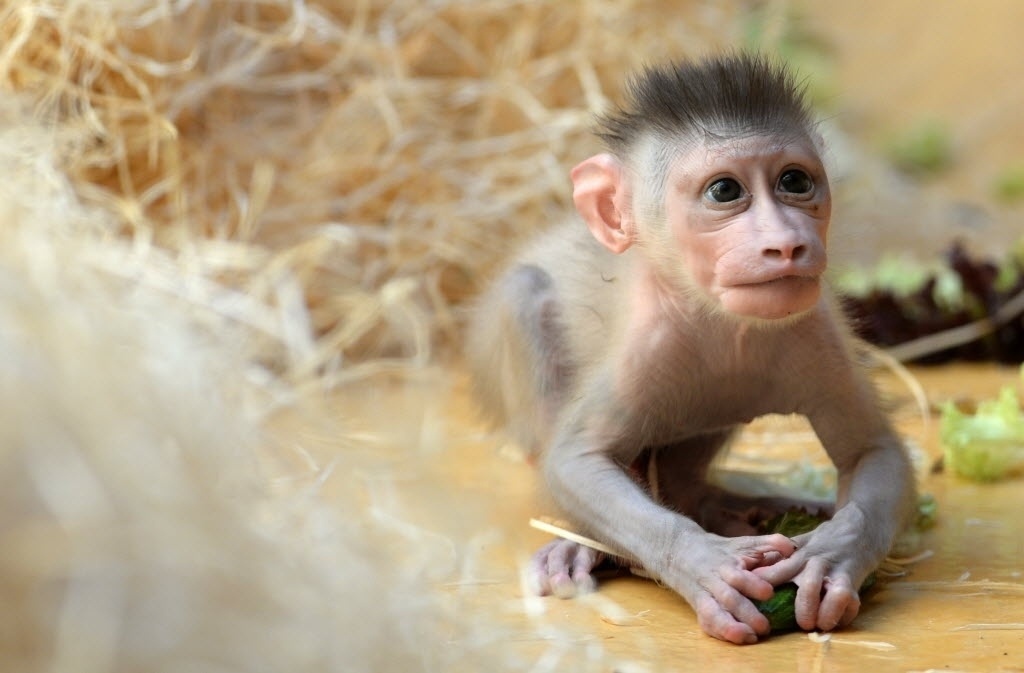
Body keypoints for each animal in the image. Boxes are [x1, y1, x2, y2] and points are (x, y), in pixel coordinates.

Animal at [465, 53, 917, 645]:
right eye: (724, 192)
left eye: (794, 181)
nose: (786, 243)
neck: (723, 320)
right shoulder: (647, 347)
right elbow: (575, 459)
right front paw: (700, 563)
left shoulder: (814, 327)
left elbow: (873, 450)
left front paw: (834, 556)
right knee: (525, 296)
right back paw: (586, 541)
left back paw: (727, 505)